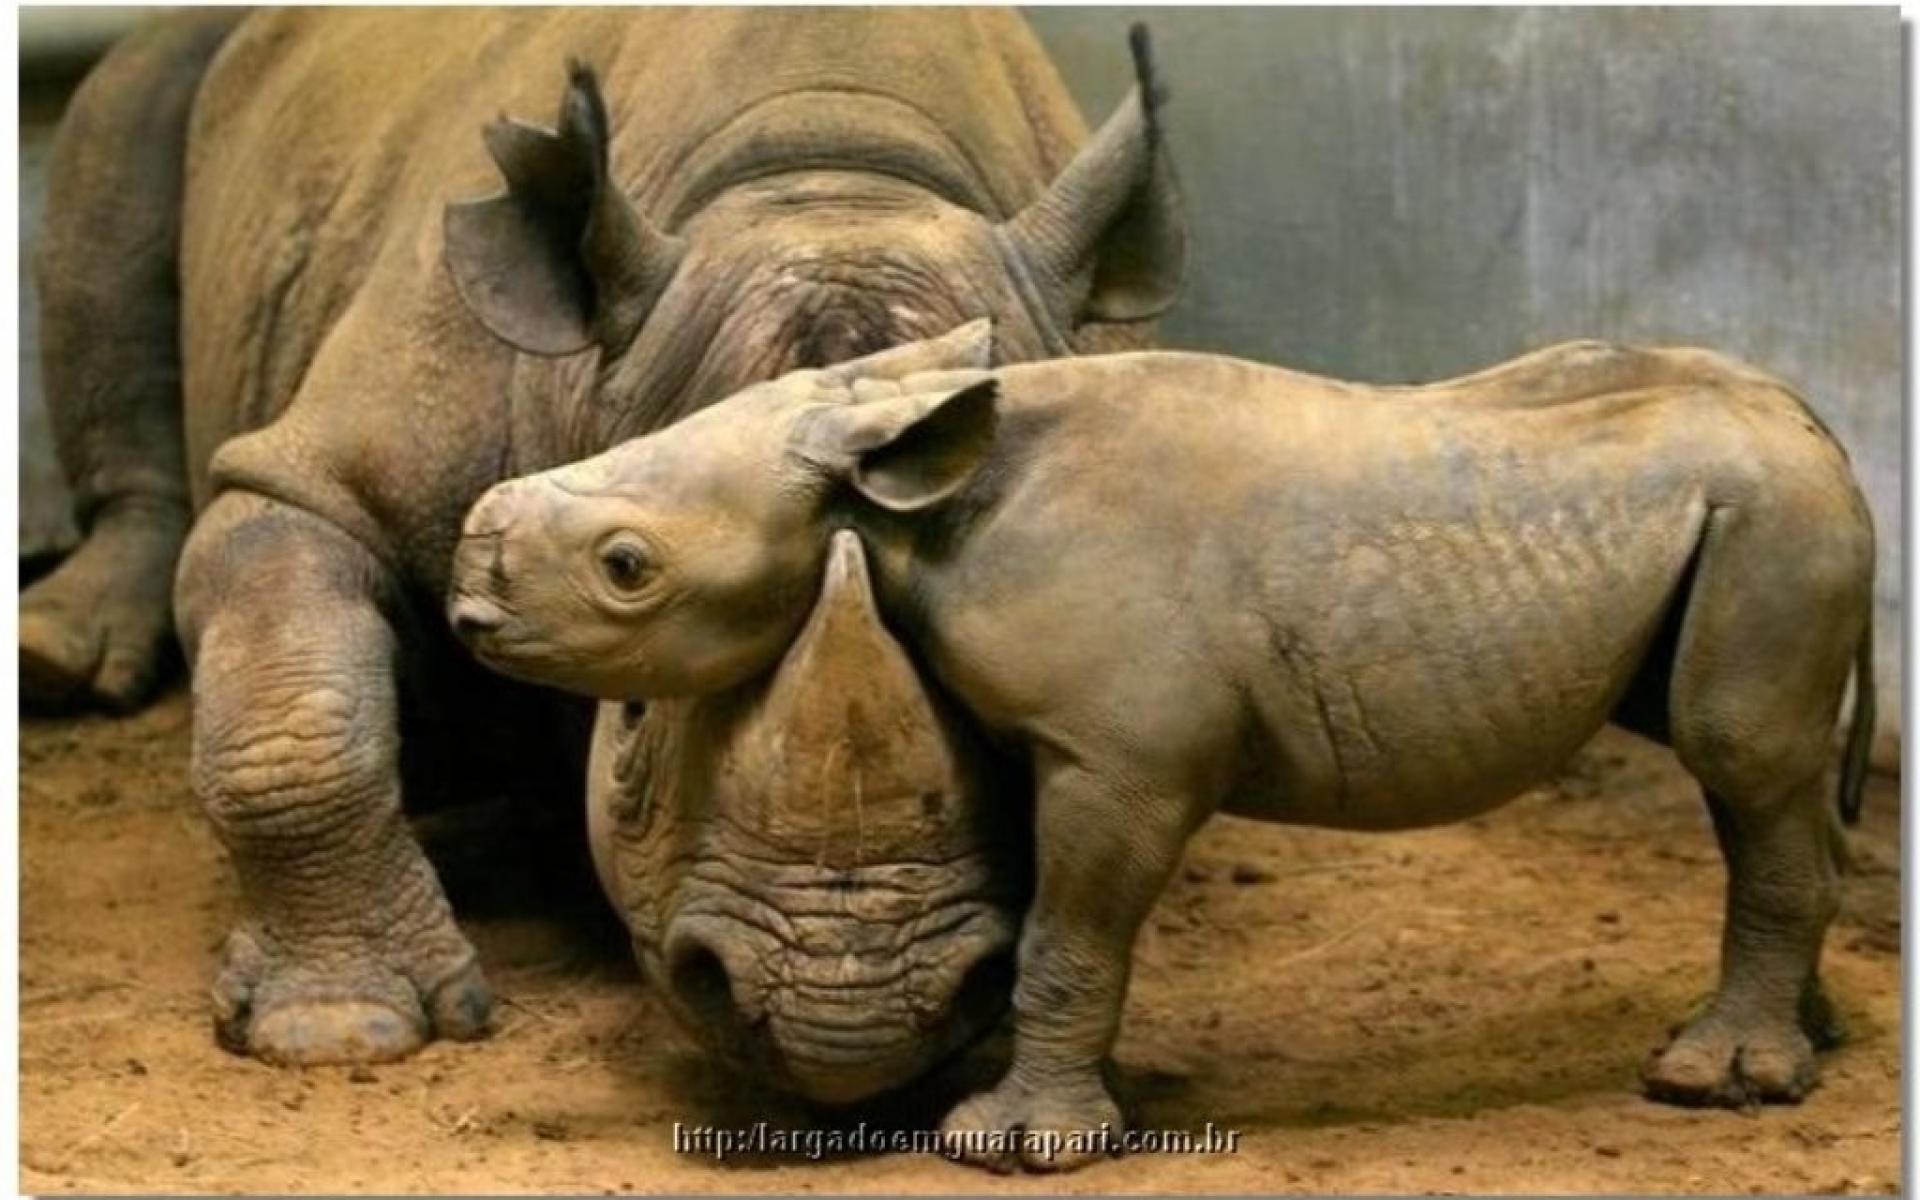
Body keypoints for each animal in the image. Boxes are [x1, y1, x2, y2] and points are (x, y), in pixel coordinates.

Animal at [21, 8, 1185, 1080]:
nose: (851, 1030)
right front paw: (338, 1028)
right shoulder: (331, 473)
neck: (827, 173)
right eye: (626, 714)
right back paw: (55, 660)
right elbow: (295, 699)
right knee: (120, 121)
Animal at [452, 323, 1876, 1170]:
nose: (467, 600)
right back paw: (1803, 1042)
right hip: (1745, 511)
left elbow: (1069, 933)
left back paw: (1714, 1083)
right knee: (1757, 774)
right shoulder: (1051, 735)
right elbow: (1039, 920)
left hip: (1777, 520)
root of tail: (1819, 427)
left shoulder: (1119, 756)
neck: (910, 503)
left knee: (1739, 755)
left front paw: (1015, 1146)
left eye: (626, 568)